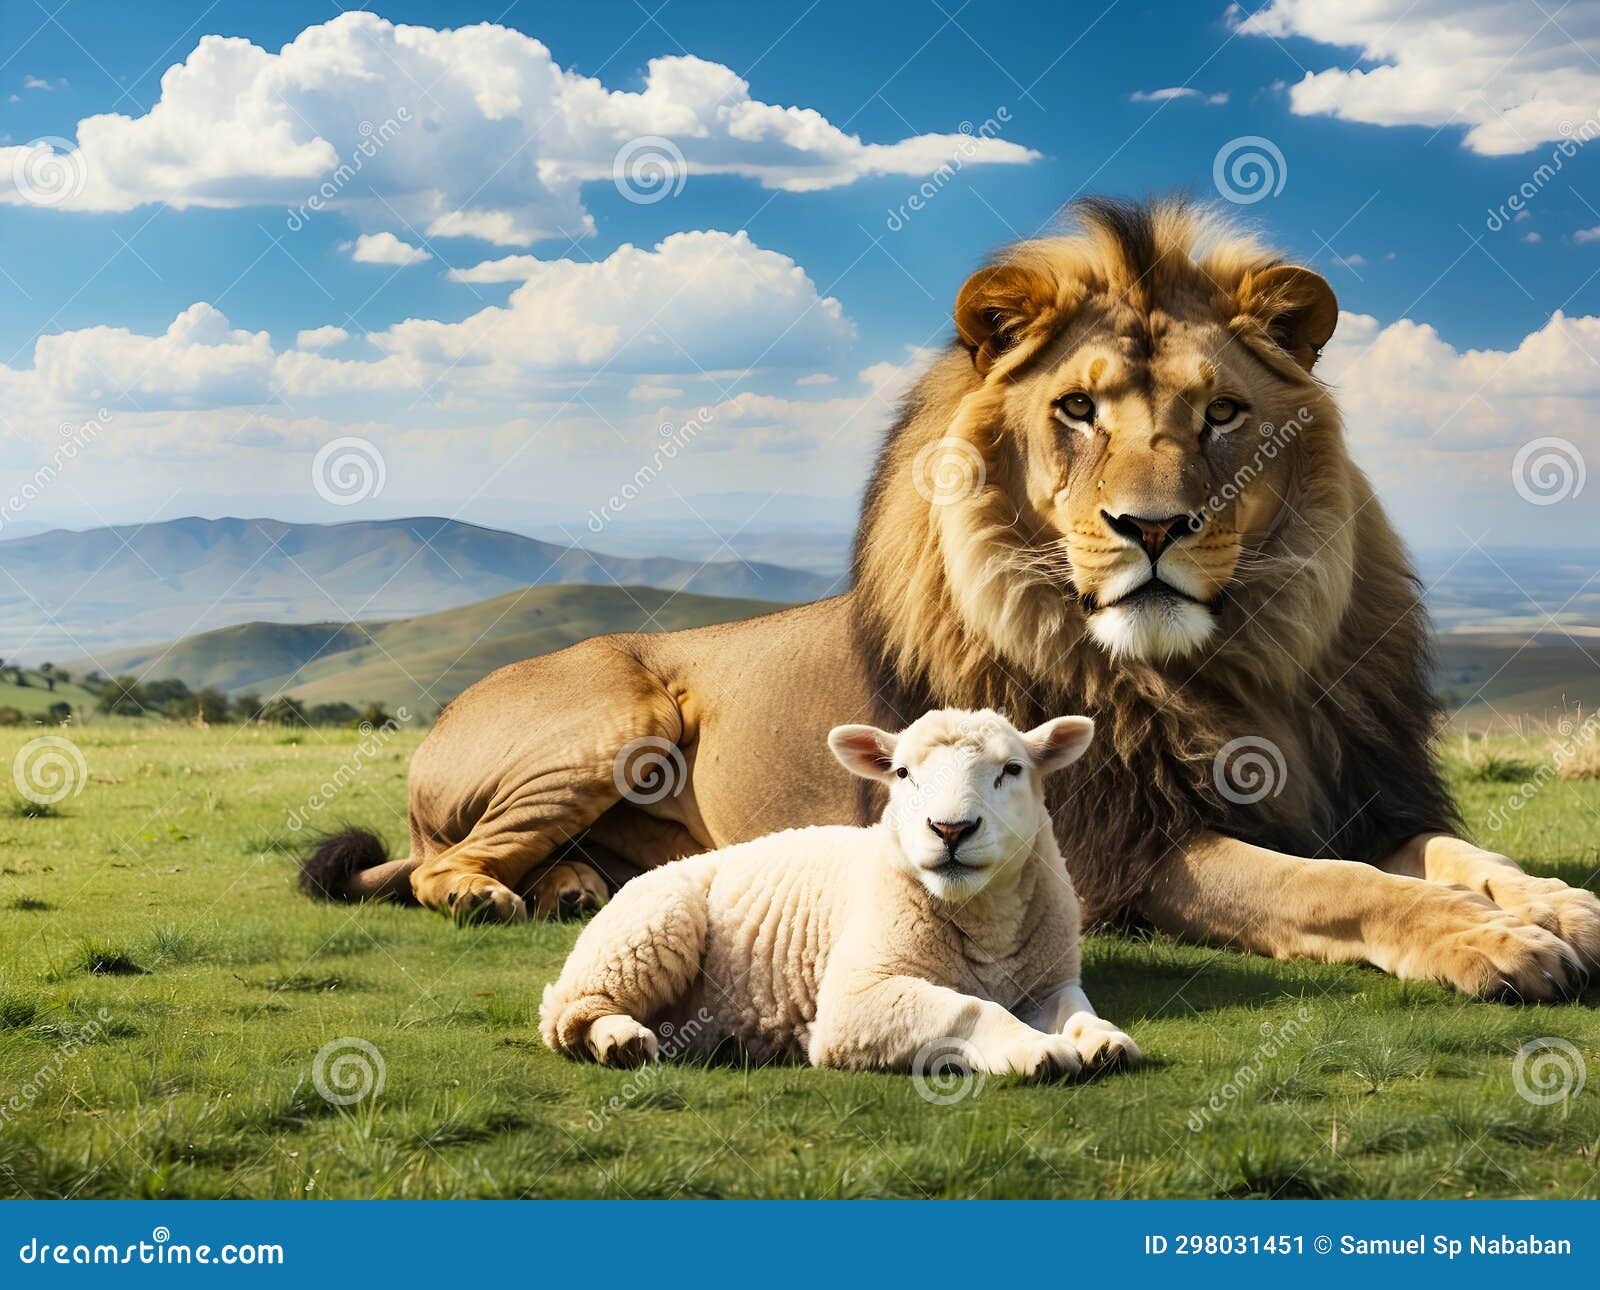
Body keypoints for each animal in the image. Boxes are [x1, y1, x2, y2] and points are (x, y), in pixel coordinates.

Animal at [301, 195, 1600, 1001]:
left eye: (1222, 413)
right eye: (1076, 410)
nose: (1153, 529)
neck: (1213, 673)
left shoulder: (1359, 788)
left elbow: (1451, 849)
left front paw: (1557, 908)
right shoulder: (1127, 850)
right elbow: (1333, 887)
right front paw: (1493, 945)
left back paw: (574, 884)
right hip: (615, 717)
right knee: (434, 867)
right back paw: (499, 894)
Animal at [540, 707, 1140, 1079]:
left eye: (1012, 769)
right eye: (903, 773)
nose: (950, 830)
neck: (982, 923)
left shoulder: (1049, 982)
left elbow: (1078, 1011)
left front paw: (1104, 1042)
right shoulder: (854, 1001)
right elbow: (969, 1010)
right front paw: (1035, 1049)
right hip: (649, 927)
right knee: (567, 1014)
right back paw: (618, 1040)